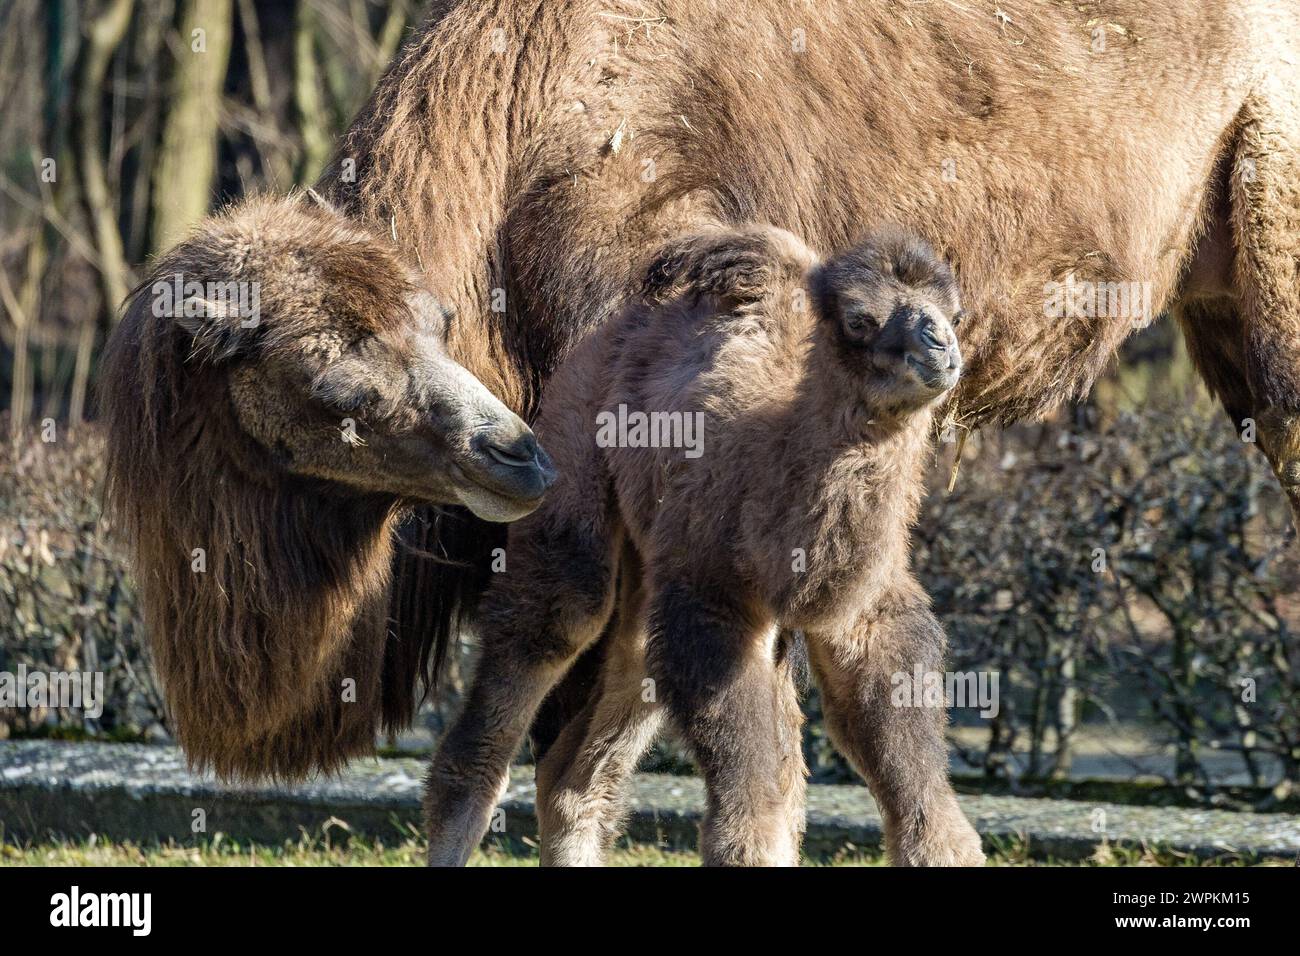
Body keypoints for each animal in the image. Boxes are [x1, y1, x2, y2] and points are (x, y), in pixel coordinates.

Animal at [423, 225, 977, 866]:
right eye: (860, 321)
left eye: (952, 311)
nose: (940, 345)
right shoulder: (713, 597)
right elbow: (749, 812)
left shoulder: (863, 609)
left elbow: (918, 790)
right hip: (566, 459)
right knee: (557, 620)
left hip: (644, 568)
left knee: (583, 759)